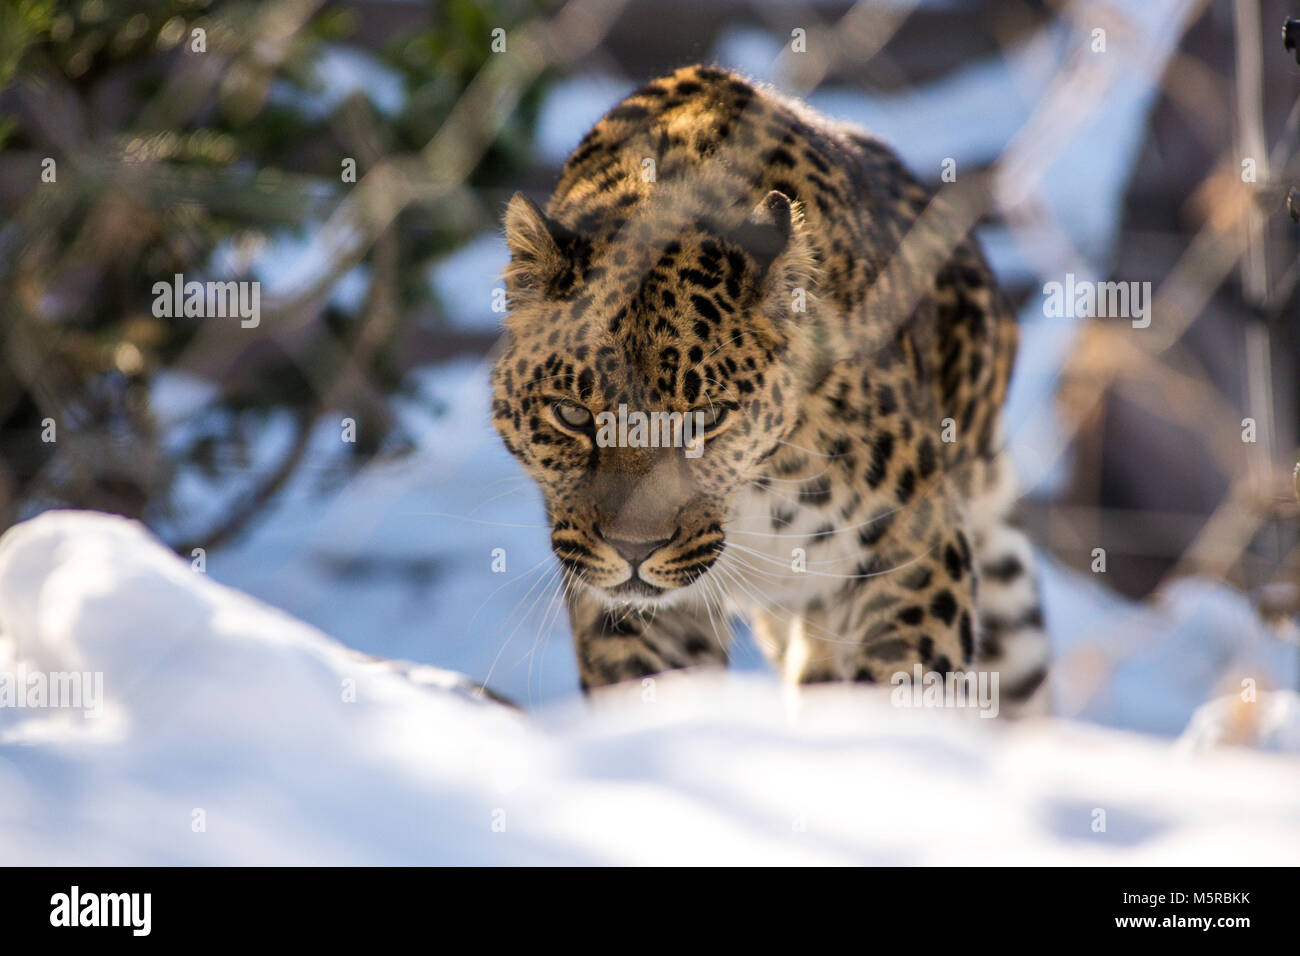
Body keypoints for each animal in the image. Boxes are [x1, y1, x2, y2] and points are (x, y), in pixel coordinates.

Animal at [490, 65, 1050, 714]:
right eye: (573, 415)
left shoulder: (917, 549)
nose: (634, 549)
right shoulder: (631, 610)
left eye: (707, 418)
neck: (750, 498)